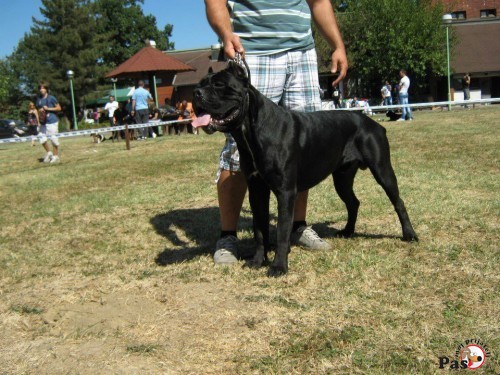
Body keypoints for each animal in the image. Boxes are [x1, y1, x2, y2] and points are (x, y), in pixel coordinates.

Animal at [191, 63, 418, 278]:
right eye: (201, 83)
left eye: (219, 85)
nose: (196, 93)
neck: (250, 130)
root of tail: (373, 123)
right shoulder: (257, 190)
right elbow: (259, 230)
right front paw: (257, 261)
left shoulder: (285, 192)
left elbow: (282, 232)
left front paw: (278, 267)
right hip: (342, 178)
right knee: (353, 202)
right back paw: (347, 231)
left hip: (382, 170)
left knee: (398, 202)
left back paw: (409, 235)